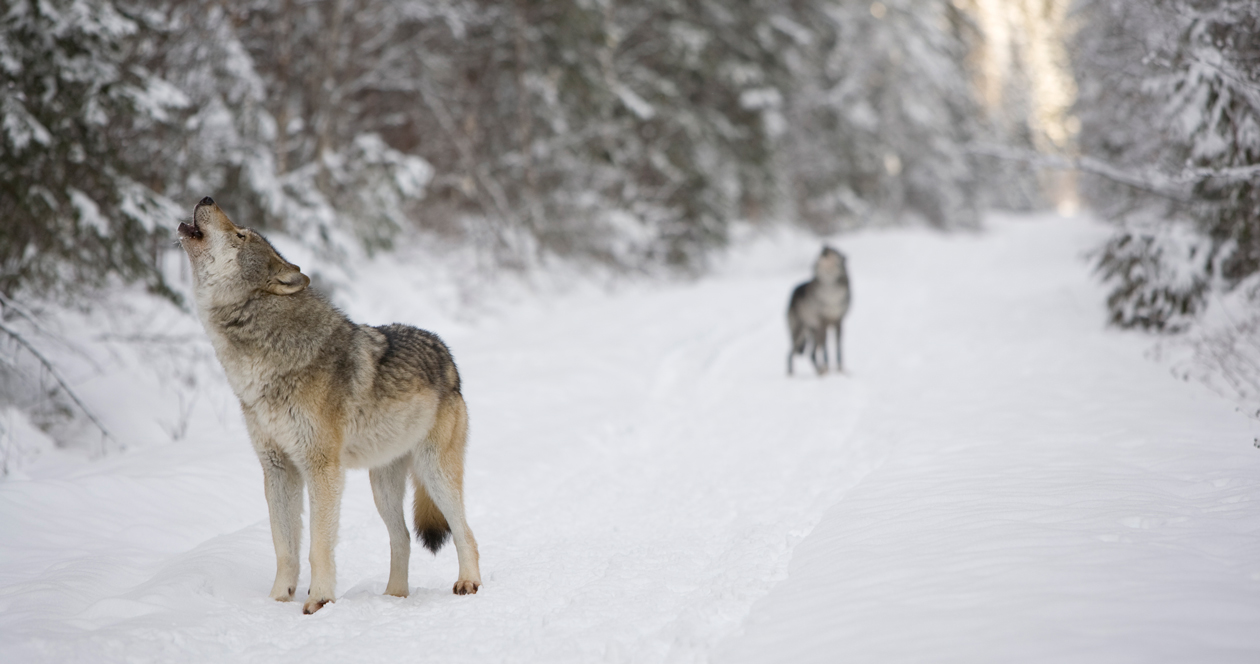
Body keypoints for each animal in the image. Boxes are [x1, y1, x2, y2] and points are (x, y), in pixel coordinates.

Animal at [177, 197, 480, 614]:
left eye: (240, 236)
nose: (206, 199)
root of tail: (446, 355)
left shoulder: (322, 468)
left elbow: (318, 546)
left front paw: (319, 600)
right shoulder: (278, 469)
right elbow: (285, 548)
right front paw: (277, 600)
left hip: (434, 473)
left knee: (466, 531)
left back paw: (468, 583)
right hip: (382, 486)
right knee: (401, 536)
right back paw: (394, 597)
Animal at [787, 245, 851, 375]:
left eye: (835, 250)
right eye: (830, 248)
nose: (825, 245)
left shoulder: (838, 321)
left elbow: (838, 349)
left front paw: (840, 370)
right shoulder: (823, 322)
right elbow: (826, 350)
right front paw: (828, 367)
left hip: (813, 335)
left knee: (810, 354)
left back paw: (819, 372)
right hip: (801, 334)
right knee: (790, 353)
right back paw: (792, 374)